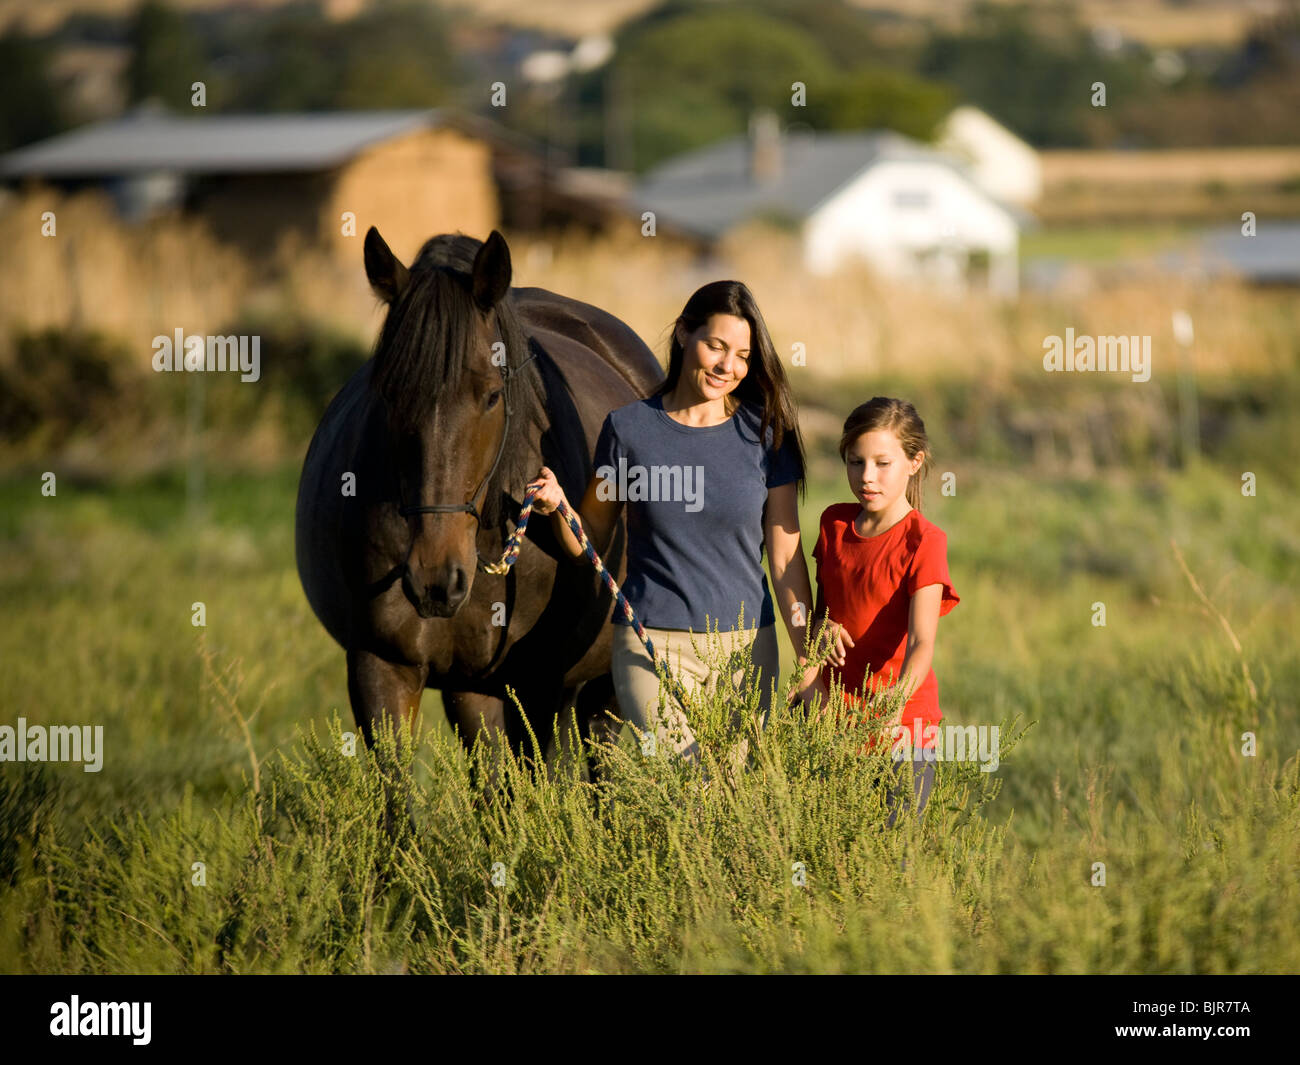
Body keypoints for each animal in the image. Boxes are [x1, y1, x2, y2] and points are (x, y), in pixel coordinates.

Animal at [295, 227, 663, 782]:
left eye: (491, 395)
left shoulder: (535, 681)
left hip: (601, 685)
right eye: (389, 394)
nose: (434, 578)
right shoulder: (383, 667)